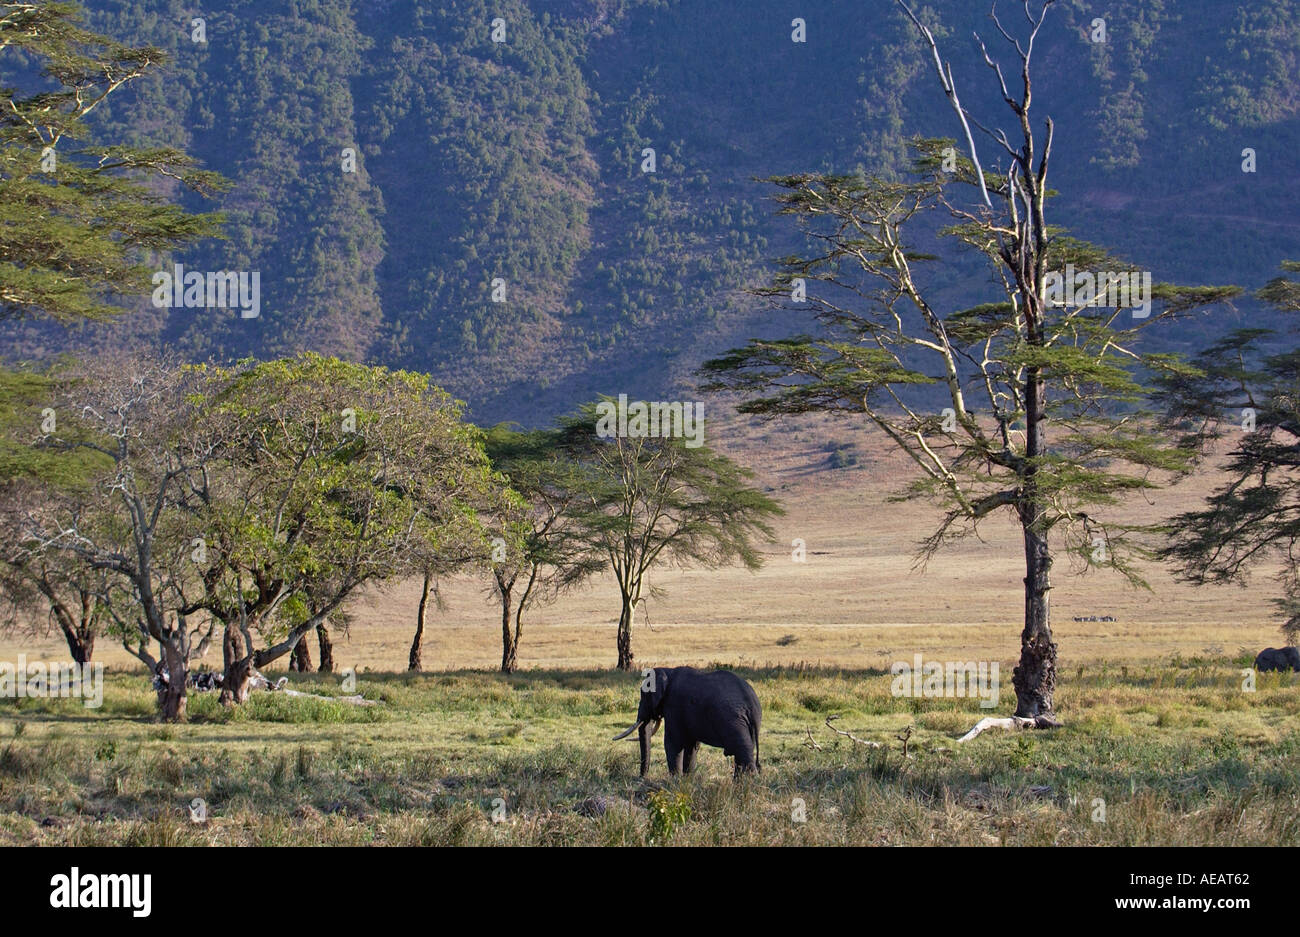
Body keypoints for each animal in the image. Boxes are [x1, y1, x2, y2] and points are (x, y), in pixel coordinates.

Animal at [611, 666, 761, 778]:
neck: (668, 672)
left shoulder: (673, 705)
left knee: (743, 753)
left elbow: (672, 742)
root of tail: (752, 704)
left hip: (734, 722)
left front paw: (674, 781)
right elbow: (691, 746)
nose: (642, 778)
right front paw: (687, 781)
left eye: (644, 696)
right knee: (742, 755)